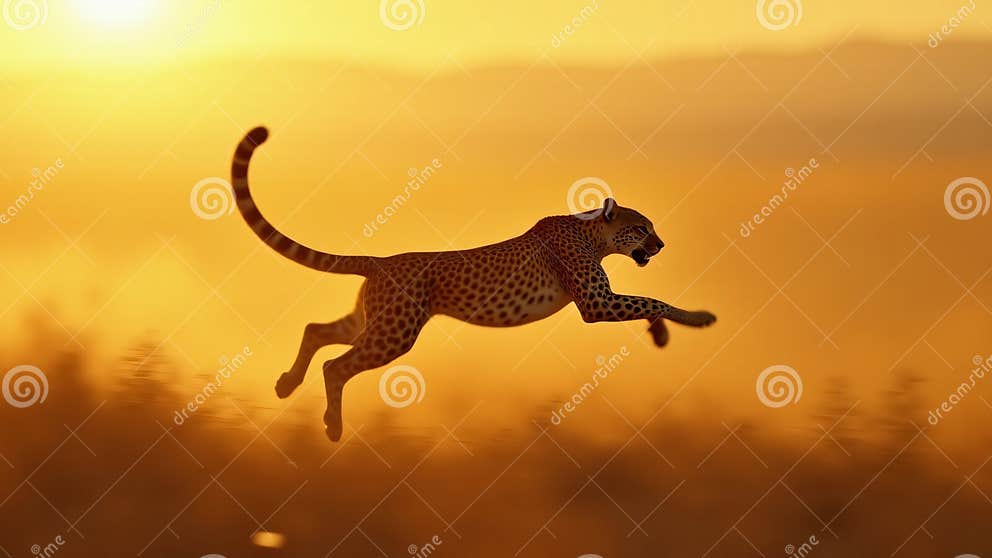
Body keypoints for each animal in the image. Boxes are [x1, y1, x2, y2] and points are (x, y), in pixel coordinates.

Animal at [230, 126, 716, 441]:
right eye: (642, 228)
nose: (661, 244)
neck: (593, 232)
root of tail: (380, 260)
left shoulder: (604, 298)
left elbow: (646, 303)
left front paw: (662, 333)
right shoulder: (597, 302)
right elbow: (652, 299)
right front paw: (697, 318)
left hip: (374, 321)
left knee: (316, 330)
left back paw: (286, 383)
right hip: (395, 332)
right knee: (335, 366)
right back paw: (332, 426)